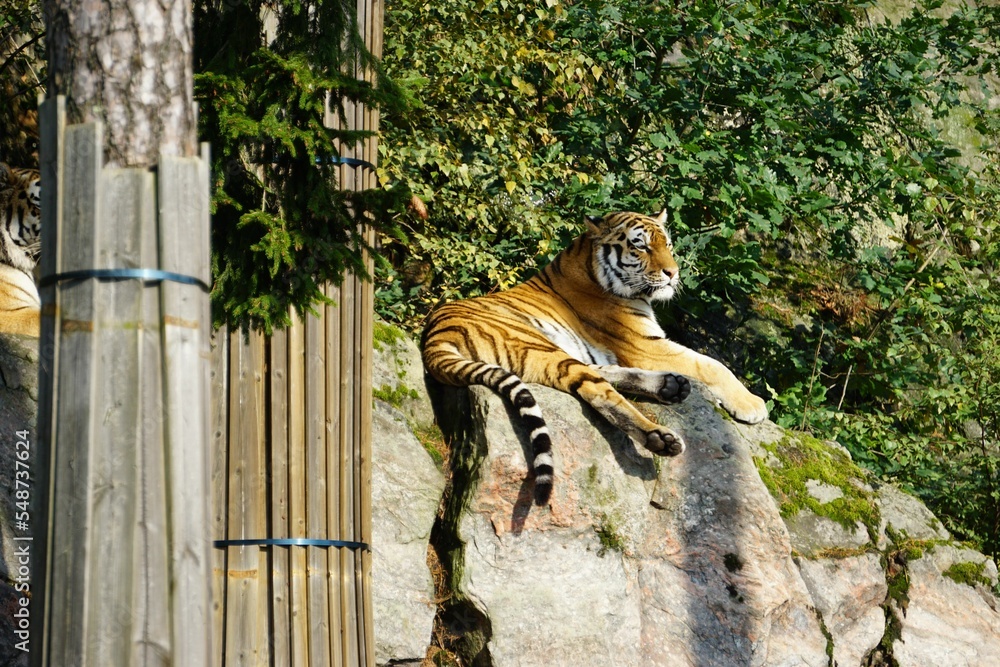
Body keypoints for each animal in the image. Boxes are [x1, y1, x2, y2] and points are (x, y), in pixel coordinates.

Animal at [422, 209, 768, 504]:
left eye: (667, 245)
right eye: (641, 247)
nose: (673, 273)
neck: (588, 266)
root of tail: (434, 338)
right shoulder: (646, 346)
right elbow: (713, 365)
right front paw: (752, 405)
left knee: (600, 373)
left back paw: (671, 386)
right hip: (535, 343)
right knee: (598, 391)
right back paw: (660, 436)